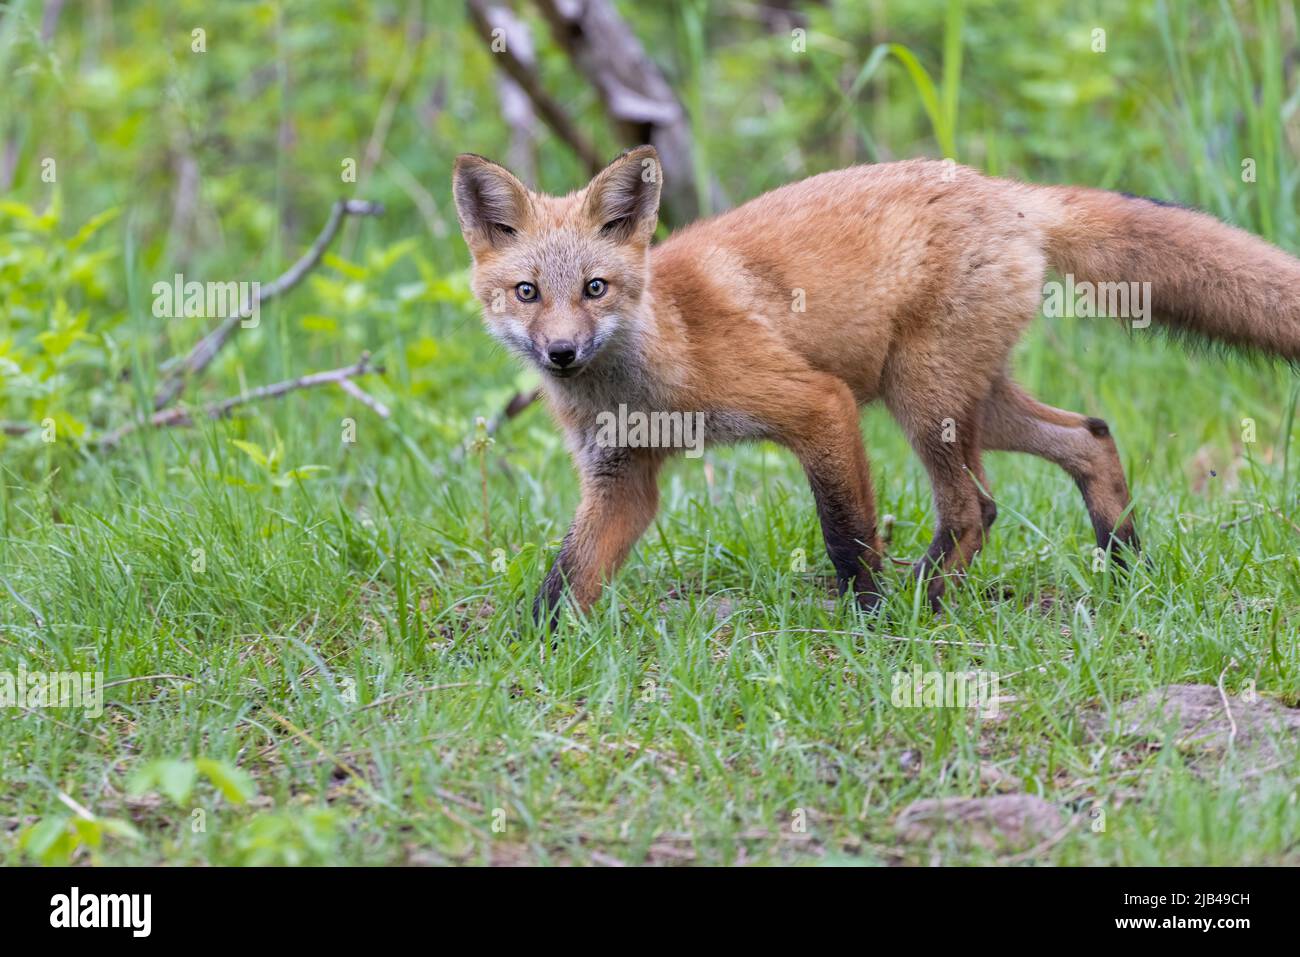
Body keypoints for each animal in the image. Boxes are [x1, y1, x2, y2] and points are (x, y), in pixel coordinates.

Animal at [452, 145, 1300, 625]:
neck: (654, 362)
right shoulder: (622, 477)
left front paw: (866, 619)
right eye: (527, 293)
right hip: (965, 398)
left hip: (923, 400)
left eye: (595, 288)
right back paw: (1124, 566)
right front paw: (531, 651)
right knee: (1088, 436)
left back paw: (919, 608)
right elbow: (566, 576)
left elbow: (846, 533)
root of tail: (1010, 192)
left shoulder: (816, 406)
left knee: (975, 507)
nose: (562, 353)